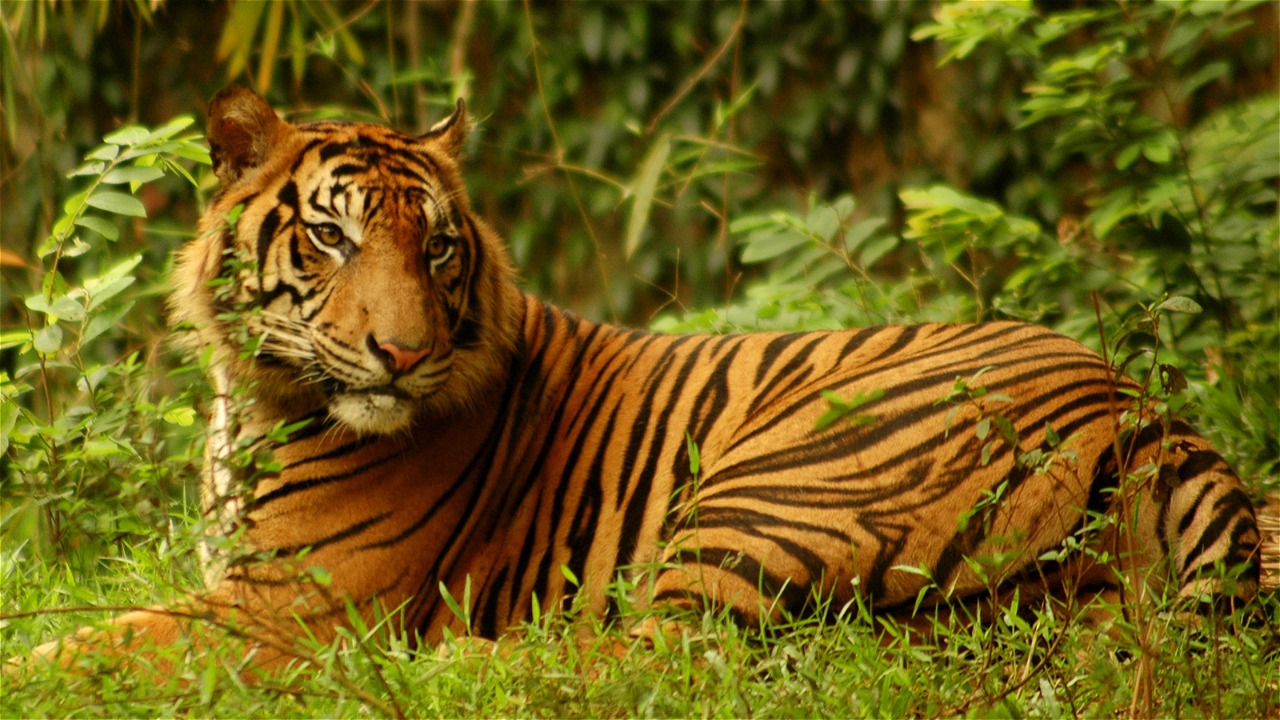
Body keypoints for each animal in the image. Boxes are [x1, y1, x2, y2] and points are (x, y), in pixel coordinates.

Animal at [30, 85, 1260, 670]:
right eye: (333, 239)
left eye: (436, 248)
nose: (406, 354)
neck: (257, 401)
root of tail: (1140, 405)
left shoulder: (291, 608)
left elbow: (91, 646)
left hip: (785, 477)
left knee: (657, 658)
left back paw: (472, 658)